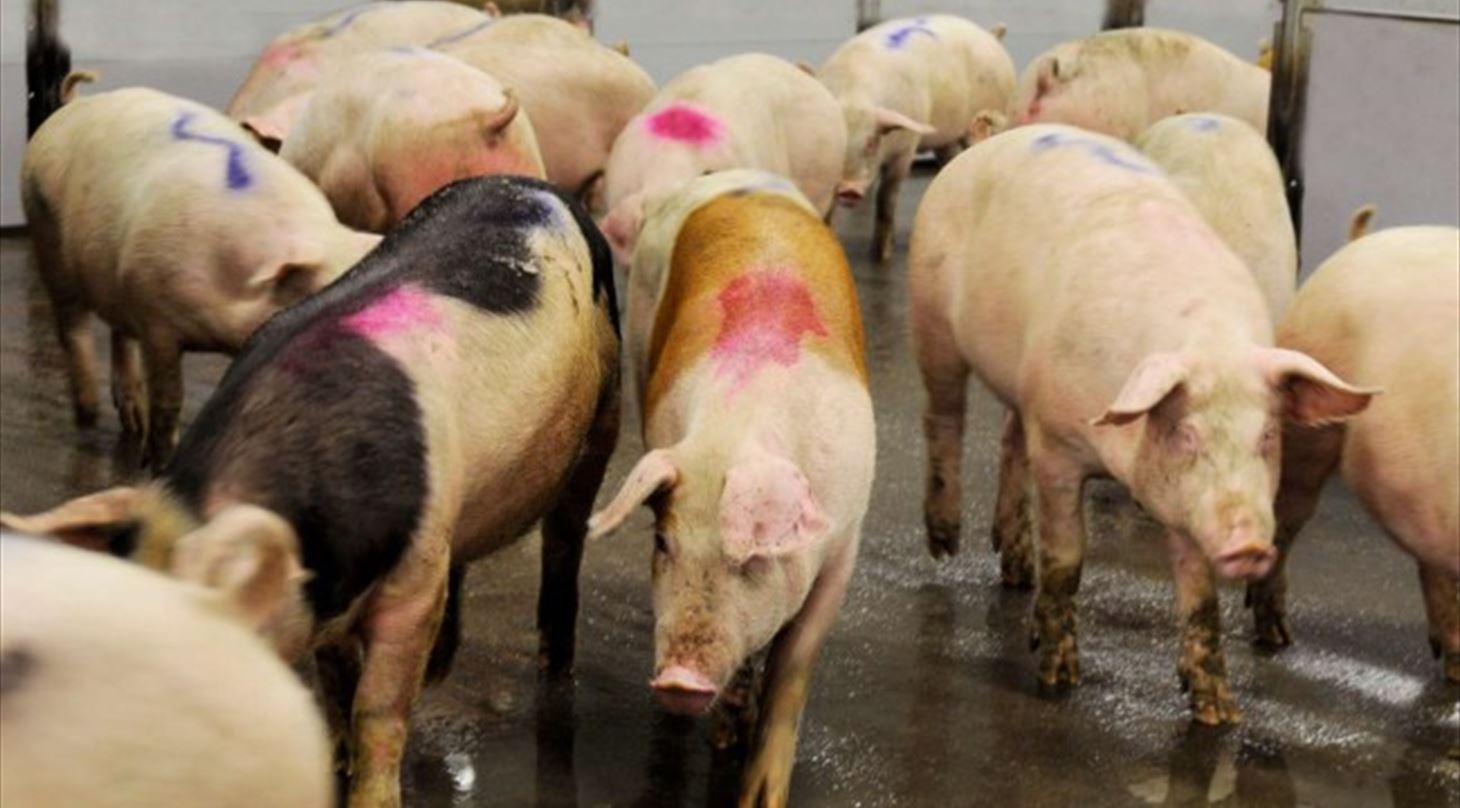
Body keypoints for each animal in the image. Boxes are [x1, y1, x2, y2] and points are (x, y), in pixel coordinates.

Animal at [21, 85, 381, 467]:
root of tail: (70, 108)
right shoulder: (155, 317)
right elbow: (168, 399)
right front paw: (158, 462)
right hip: (46, 238)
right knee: (72, 326)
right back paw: (88, 414)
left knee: (119, 334)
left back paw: (132, 422)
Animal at [588, 170, 874, 807]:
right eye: (662, 544)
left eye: (753, 561)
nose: (678, 680)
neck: (738, 431)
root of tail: (727, 176)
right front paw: (723, 738)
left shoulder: (844, 547)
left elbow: (793, 668)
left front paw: (759, 795)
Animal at [819, 15, 1016, 261]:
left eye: (872, 142)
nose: (849, 188)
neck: (854, 96)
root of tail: (990, 35)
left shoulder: (905, 148)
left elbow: (886, 198)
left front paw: (882, 255)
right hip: (945, 139)